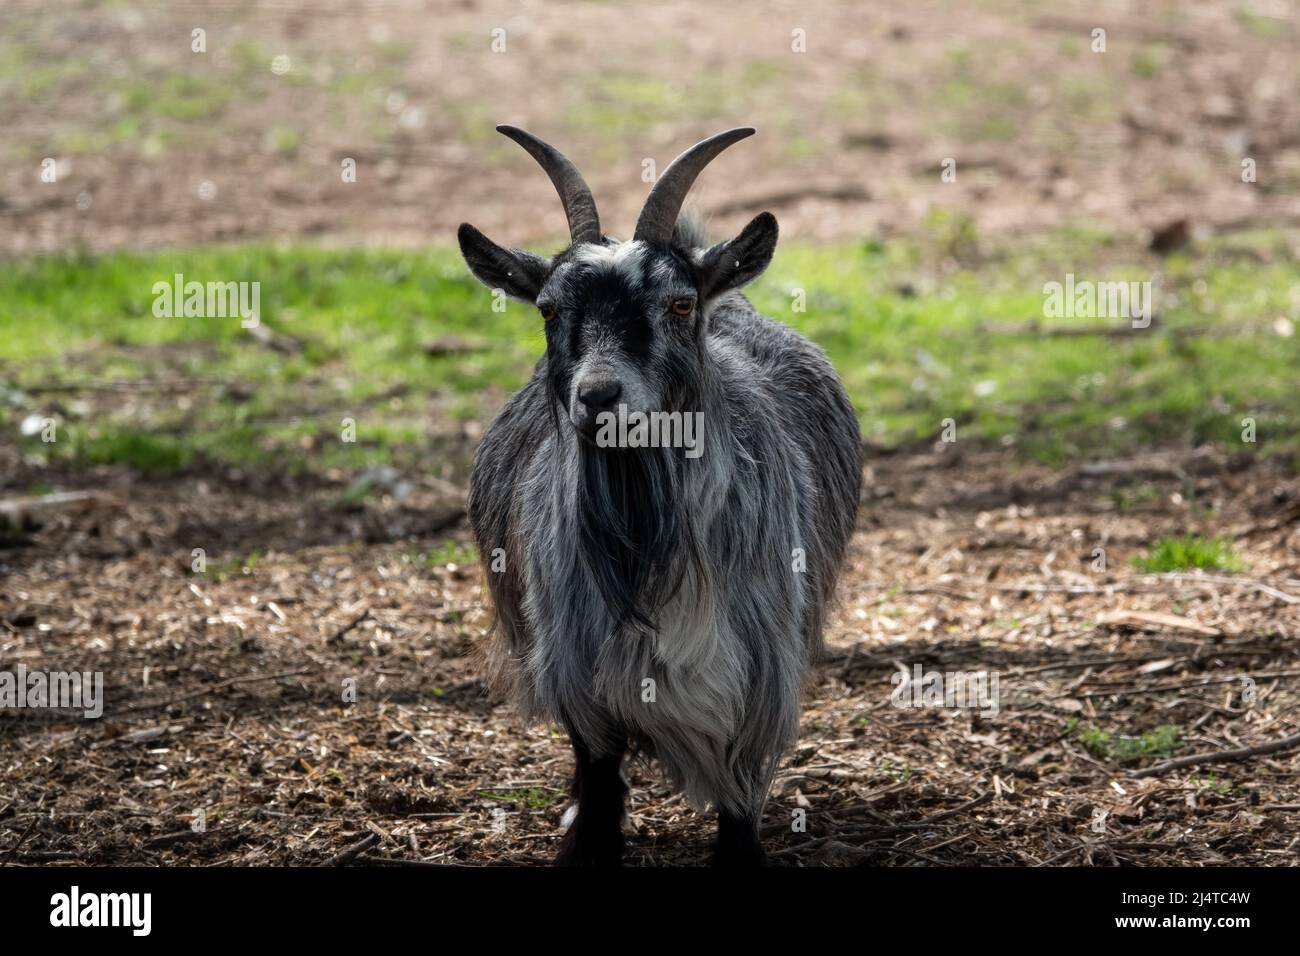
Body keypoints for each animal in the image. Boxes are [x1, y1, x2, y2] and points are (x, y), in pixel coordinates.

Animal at [458, 126, 862, 865]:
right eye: (549, 309)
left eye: (678, 303)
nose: (597, 396)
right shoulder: (576, 663)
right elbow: (597, 770)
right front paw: (584, 841)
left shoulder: (757, 669)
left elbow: (739, 786)